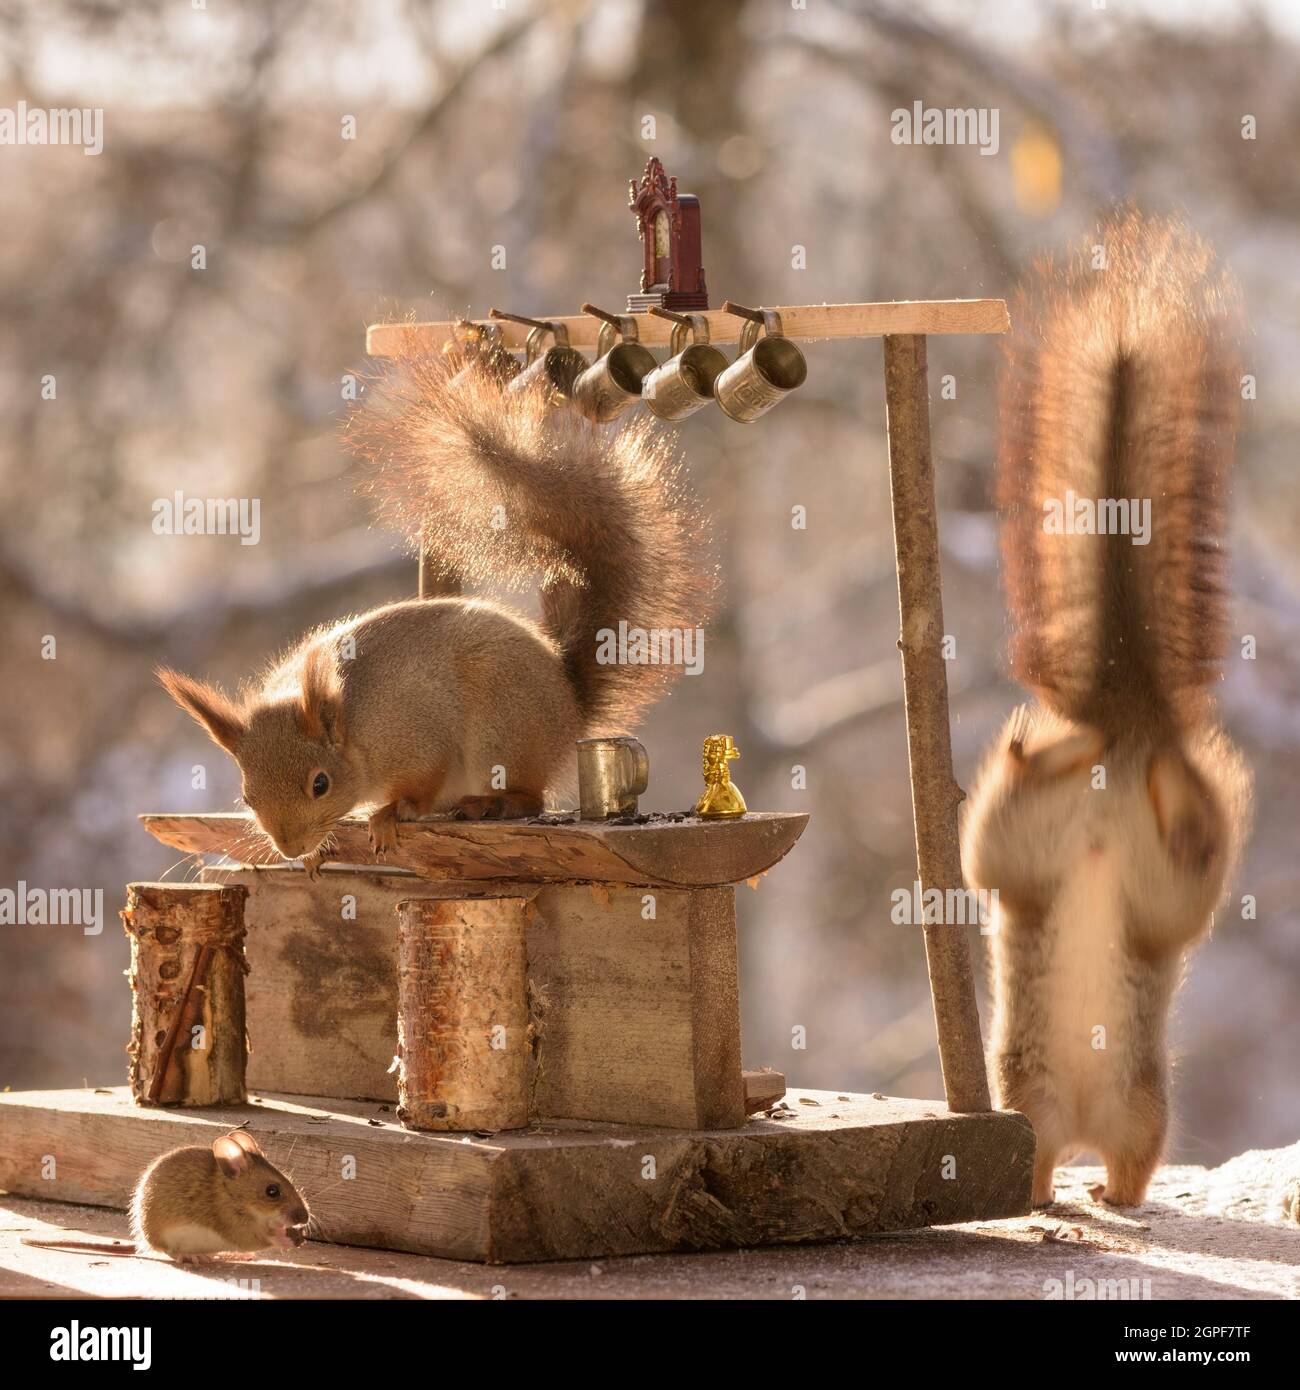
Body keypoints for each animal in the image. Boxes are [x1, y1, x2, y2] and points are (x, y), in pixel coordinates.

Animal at [158, 350, 715, 871]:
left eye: (320, 784)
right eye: (247, 795)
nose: (290, 846)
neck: (352, 725)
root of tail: (569, 702)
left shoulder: (419, 734)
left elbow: (421, 784)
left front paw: (389, 816)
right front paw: (321, 852)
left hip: (501, 729)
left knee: (529, 796)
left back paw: (489, 805)